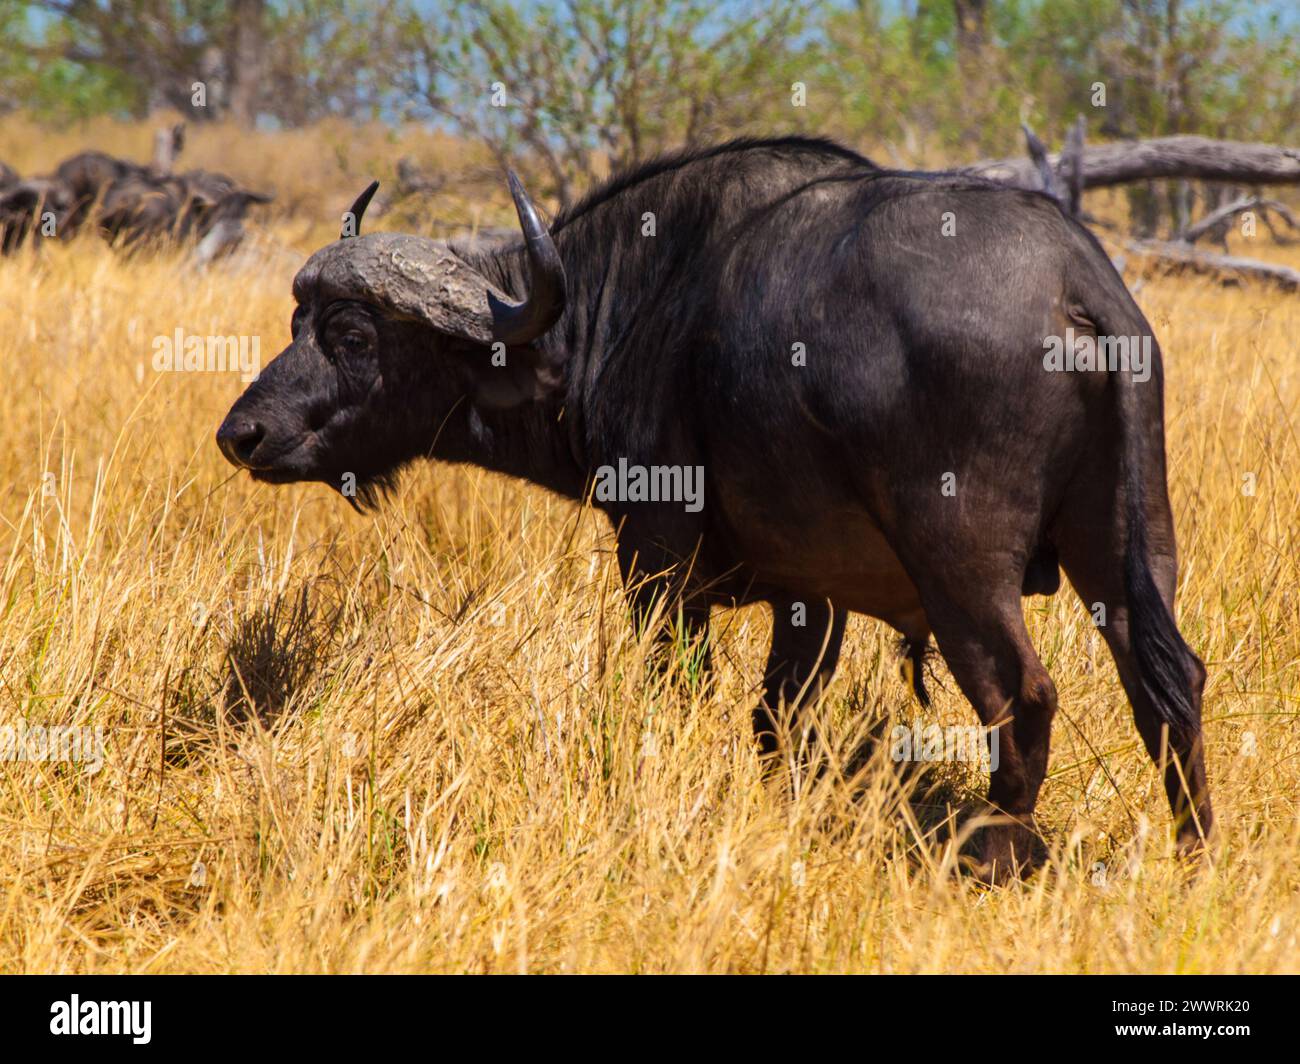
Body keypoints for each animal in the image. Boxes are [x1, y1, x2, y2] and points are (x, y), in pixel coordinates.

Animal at [216, 136, 1212, 882]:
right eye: (297, 324)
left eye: (353, 336)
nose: (243, 433)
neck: (625, 306)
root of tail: (1077, 284)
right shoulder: (813, 597)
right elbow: (776, 719)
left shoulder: (656, 553)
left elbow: (674, 683)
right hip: (1128, 554)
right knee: (1167, 685)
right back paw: (1193, 852)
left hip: (963, 569)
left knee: (1022, 696)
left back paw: (993, 853)